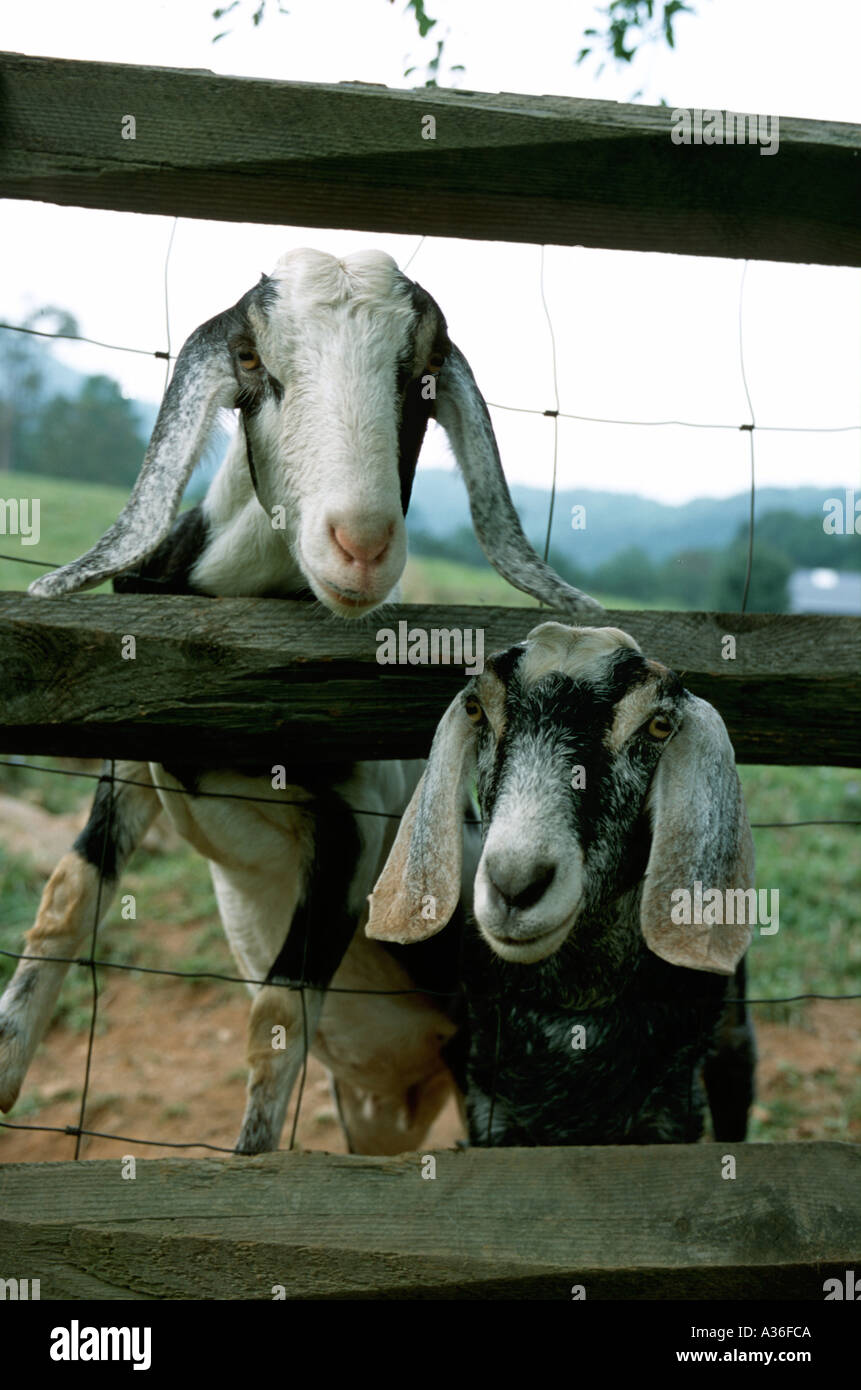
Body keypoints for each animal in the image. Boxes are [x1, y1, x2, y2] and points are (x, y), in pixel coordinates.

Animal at [0, 250, 600, 1156]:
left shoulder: (355, 829)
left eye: (423, 375)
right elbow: (66, 898)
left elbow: (276, 1026)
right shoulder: (135, 754)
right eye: (251, 360)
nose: (360, 545)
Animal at [368, 621, 756, 1146]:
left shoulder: (670, 1110)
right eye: (476, 709)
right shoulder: (490, 1106)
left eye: (658, 725)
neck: (577, 1001)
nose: (515, 883)